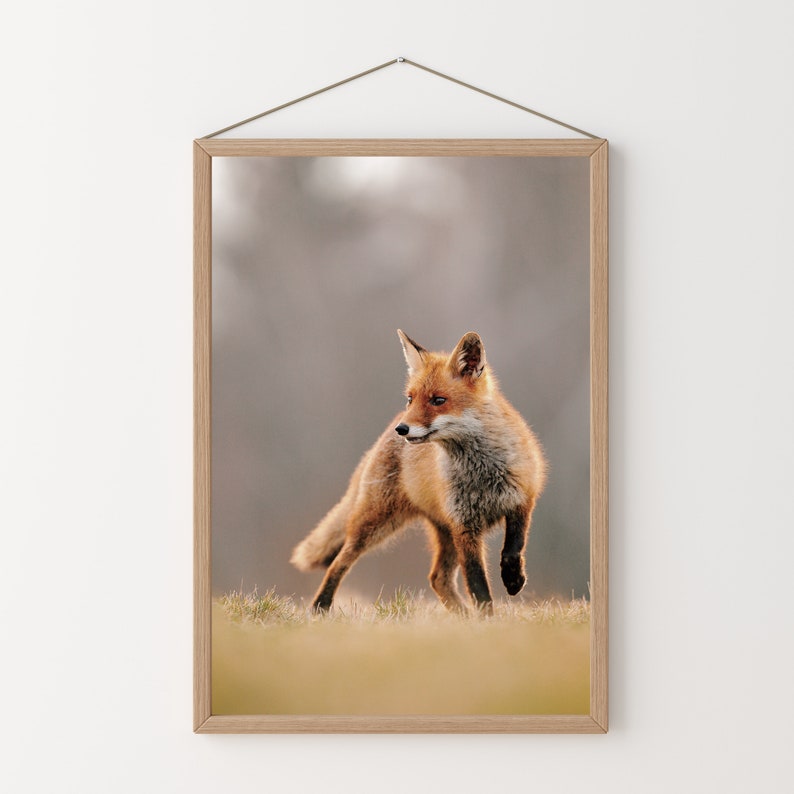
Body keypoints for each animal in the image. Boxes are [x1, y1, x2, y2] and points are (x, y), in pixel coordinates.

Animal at [290, 330, 547, 614]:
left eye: (438, 400)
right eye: (410, 399)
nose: (402, 429)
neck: (482, 473)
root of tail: (383, 433)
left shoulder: (522, 499)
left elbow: (514, 547)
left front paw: (513, 580)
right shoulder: (464, 526)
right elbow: (477, 584)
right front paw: (486, 619)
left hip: (440, 531)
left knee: (438, 578)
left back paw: (462, 615)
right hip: (376, 524)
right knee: (340, 562)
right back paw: (319, 607)